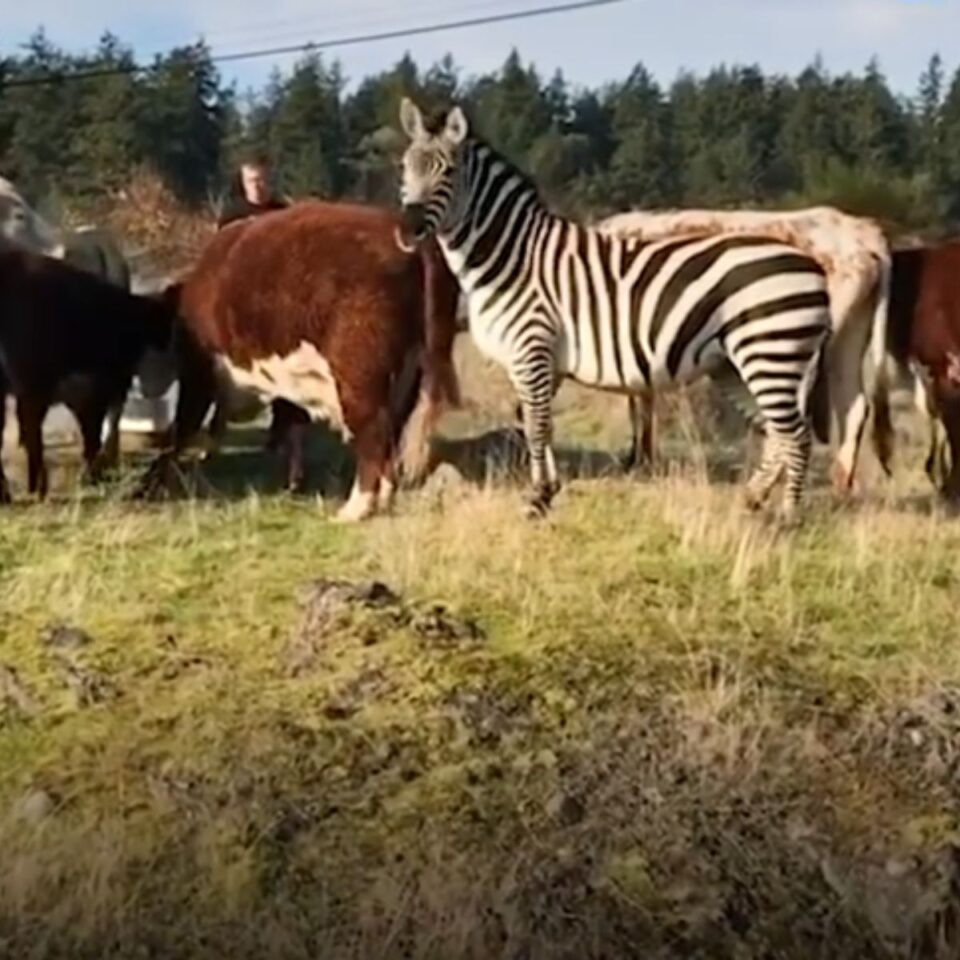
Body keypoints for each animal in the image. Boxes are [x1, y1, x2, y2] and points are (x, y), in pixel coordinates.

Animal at [142, 199, 461, 521]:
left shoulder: (199, 374)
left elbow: (183, 426)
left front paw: (155, 480)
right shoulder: (288, 382)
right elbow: (289, 422)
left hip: (359, 372)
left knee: (373, 431)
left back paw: (354, 508)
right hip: (409, 372)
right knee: (393, 430)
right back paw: (381, 498)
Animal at [394, 98, 832, 521]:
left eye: (448, 172)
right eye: (405, 168)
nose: (405, 229)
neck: (513, 257)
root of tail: (815, 267)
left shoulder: (532, 348)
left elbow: (535, 426)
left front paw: (536, 499)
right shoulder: (538, 361)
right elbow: (537, 424)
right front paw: (547, 494)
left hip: (769, 353)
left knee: (796, 434)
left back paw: (789, 516)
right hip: (737, 365)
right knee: (776, 432)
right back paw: (753, 500)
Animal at [597, 206, 891, 492]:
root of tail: (859, 229)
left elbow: (639, 403)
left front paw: (639, 461)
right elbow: (641, 401)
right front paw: (639, 459)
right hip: (848, 337)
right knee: (852, 406)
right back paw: (840, 485)